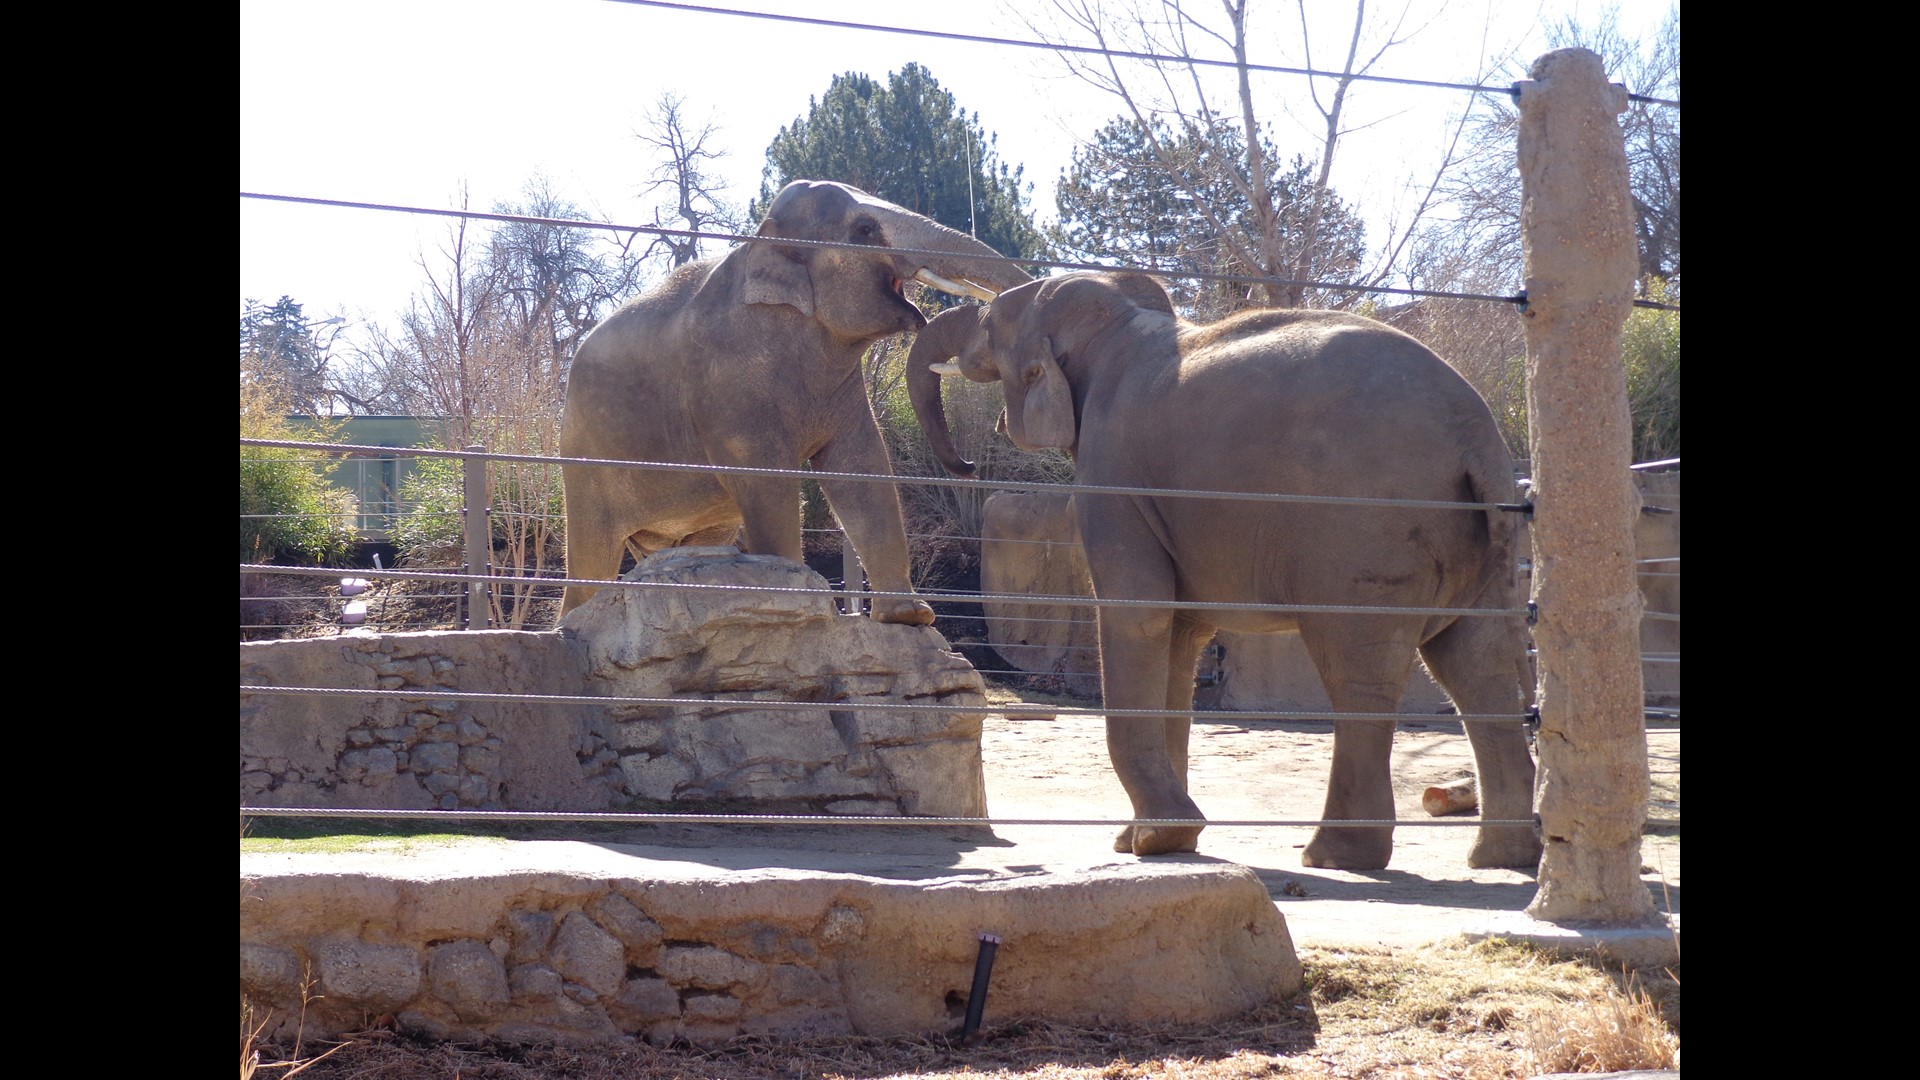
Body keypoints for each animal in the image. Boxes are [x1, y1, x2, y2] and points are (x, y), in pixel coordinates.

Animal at [559, 179, 1032, 621]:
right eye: (865, 229)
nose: (971, 465)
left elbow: (862, 466)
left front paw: (909, 617)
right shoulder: (725, 383)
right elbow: (769, 485)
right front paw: (797, 612)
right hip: (584, 465)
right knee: (590, 556)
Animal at [907, 271, 1541, 871]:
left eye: (990, 323)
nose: (967, 465)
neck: (1117, 320)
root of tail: (1477, 432)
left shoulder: (1114, 474)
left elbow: (1139, 616)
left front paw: (1159, 839)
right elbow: (1180, 636)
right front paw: (1152, 841)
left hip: (1364, 532)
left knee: (1361, 671)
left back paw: (1335, 856)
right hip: (1478, 538)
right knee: (1476, 667)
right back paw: (1501, 857)